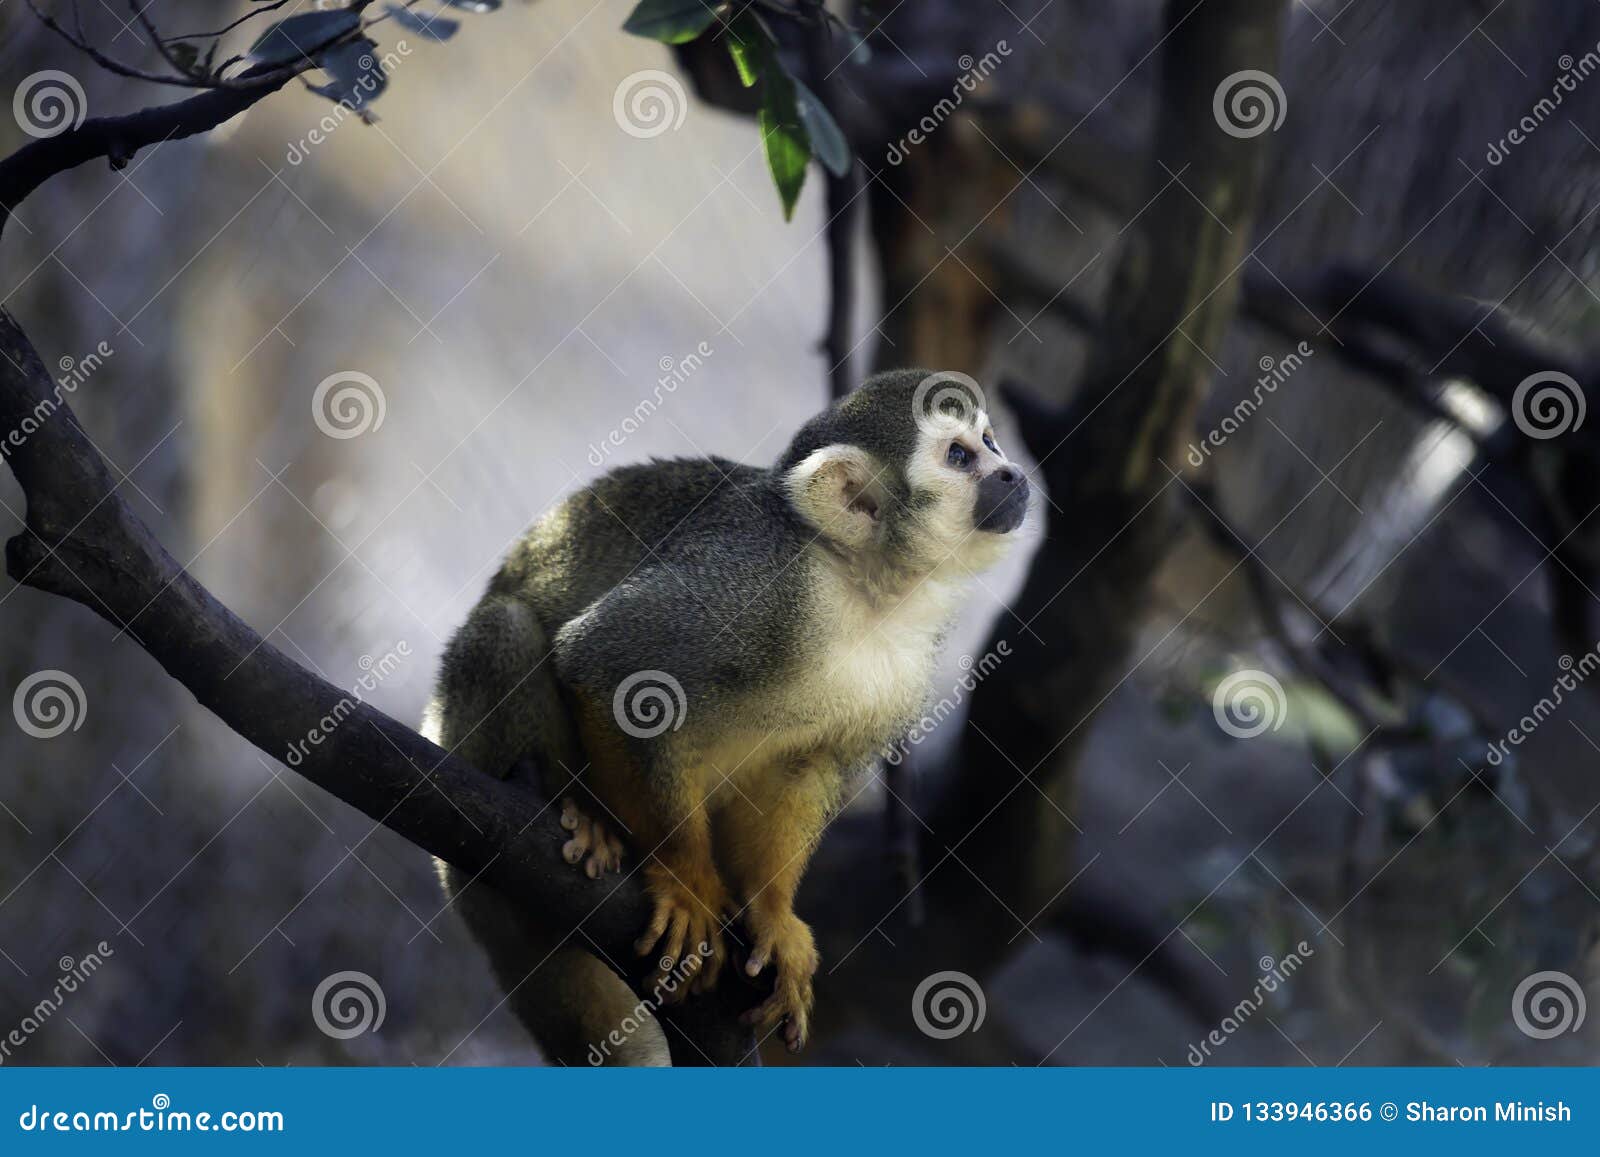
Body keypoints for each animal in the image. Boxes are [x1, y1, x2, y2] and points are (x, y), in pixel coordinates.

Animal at [424, 367, 1030, 1065]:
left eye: (990, 440)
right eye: (960, 456)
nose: (1012, 473)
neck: (857, 585)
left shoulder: (900, 667)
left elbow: (807, 770)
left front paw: (772, 913)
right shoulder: (754, 584)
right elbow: (608, 667)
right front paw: (686, 879)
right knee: (508, 627)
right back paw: (574, 811)